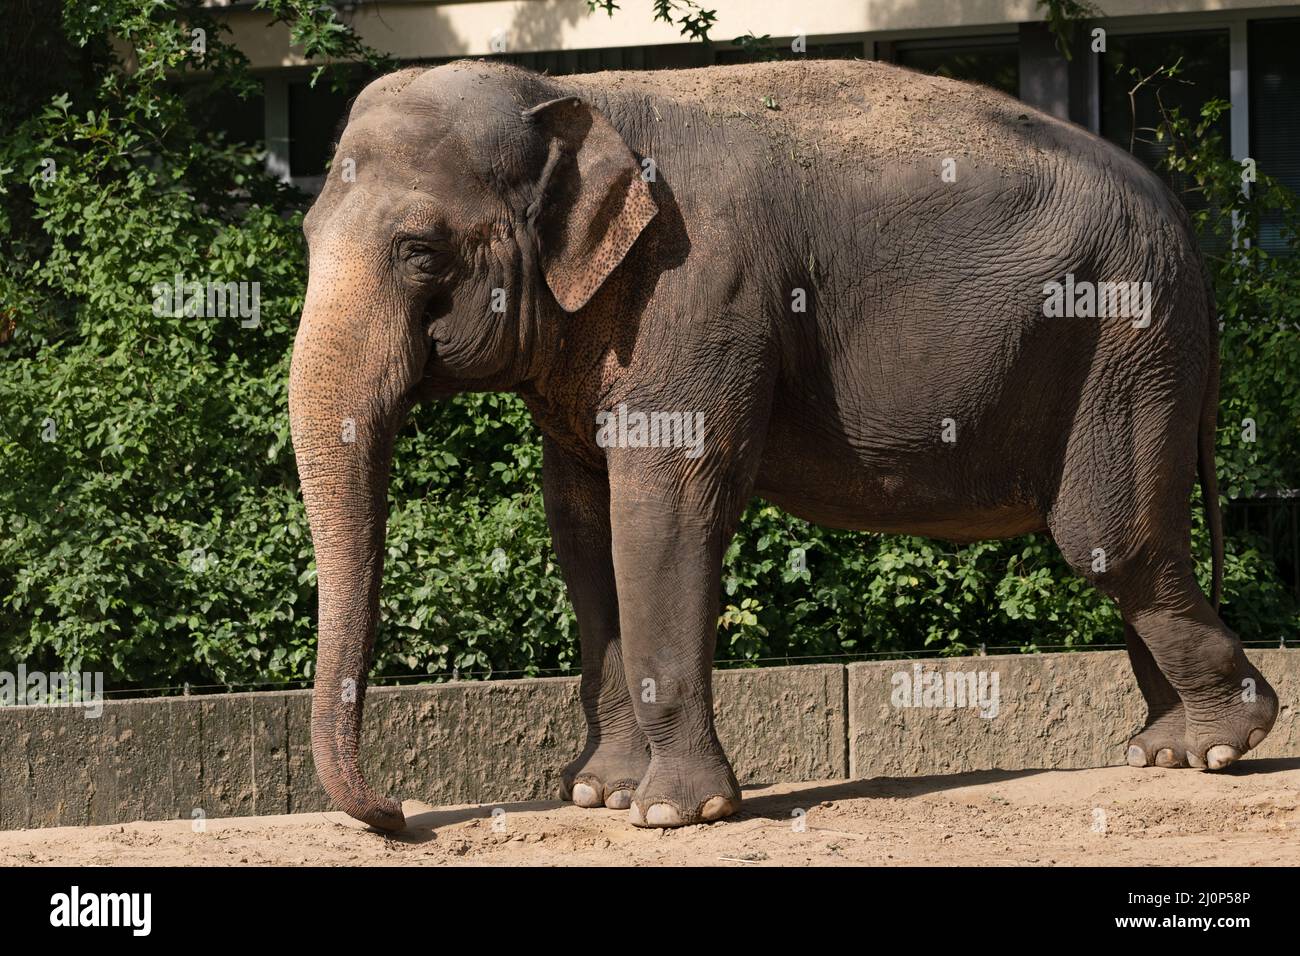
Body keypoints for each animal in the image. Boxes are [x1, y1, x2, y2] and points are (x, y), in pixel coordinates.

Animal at [288, 57, 1279, 832]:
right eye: (303, 235)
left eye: (420, 251)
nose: (403, 813)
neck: (578, 94)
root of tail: (1189, 229)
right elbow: (580, 524)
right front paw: (598, 796)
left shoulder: (700, 293)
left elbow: (663, 510)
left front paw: (671, 813)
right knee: (1133, 548)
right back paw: (1164, 751)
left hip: (1126, 339)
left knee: (1113, 539)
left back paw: (1227, 742)